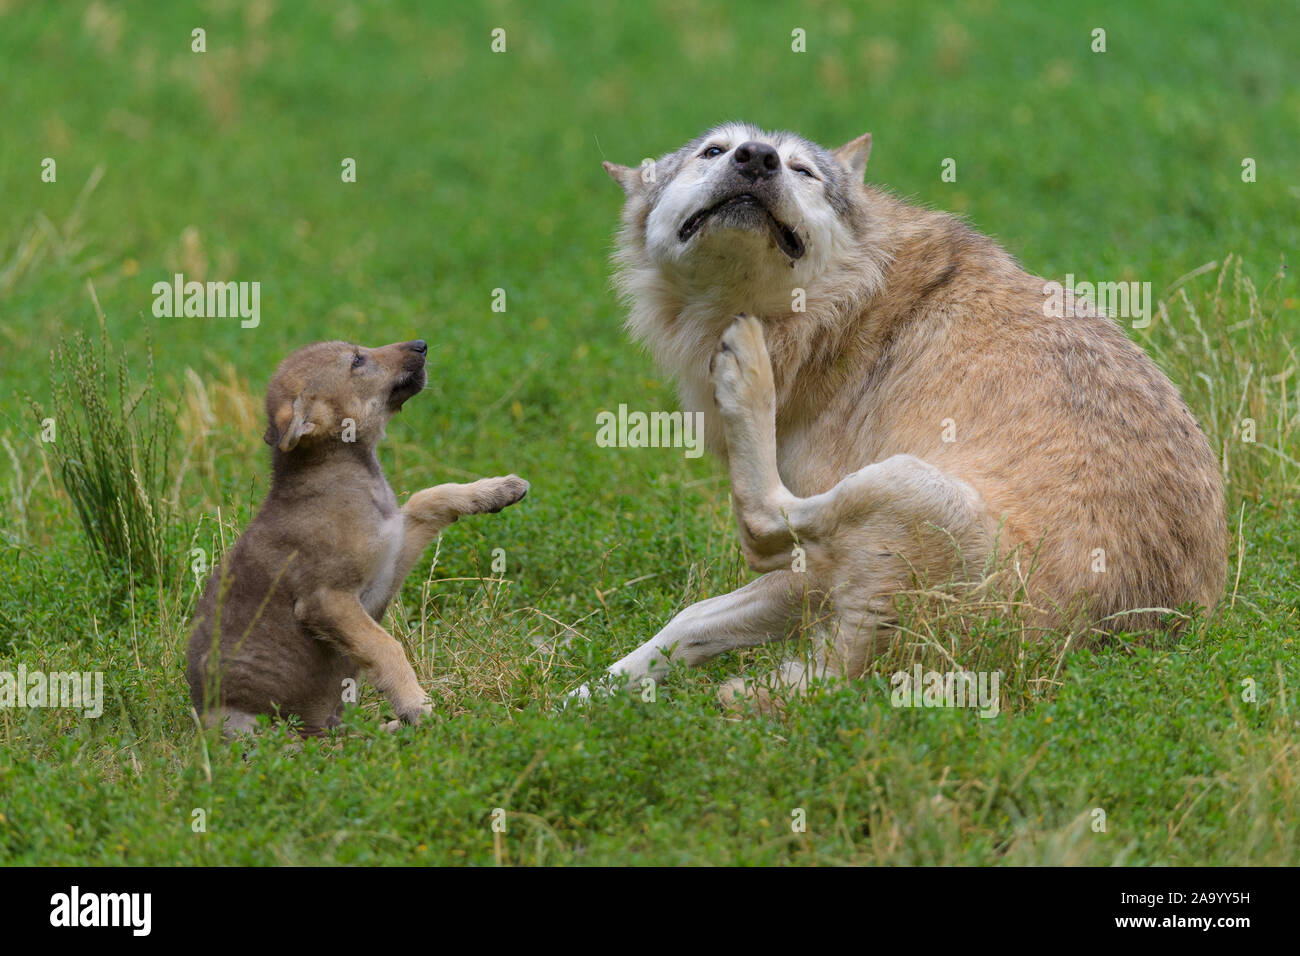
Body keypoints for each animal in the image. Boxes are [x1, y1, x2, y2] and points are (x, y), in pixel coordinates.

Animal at [594, 121, 1226, 707]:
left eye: (802, 170)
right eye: (715, 151)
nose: (757, 158)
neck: (830, 310)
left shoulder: (816, 561)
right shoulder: (813, 580)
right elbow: (684, 624)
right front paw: (587, 699)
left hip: (899, 481)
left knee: (762, 522)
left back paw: (745, 373)